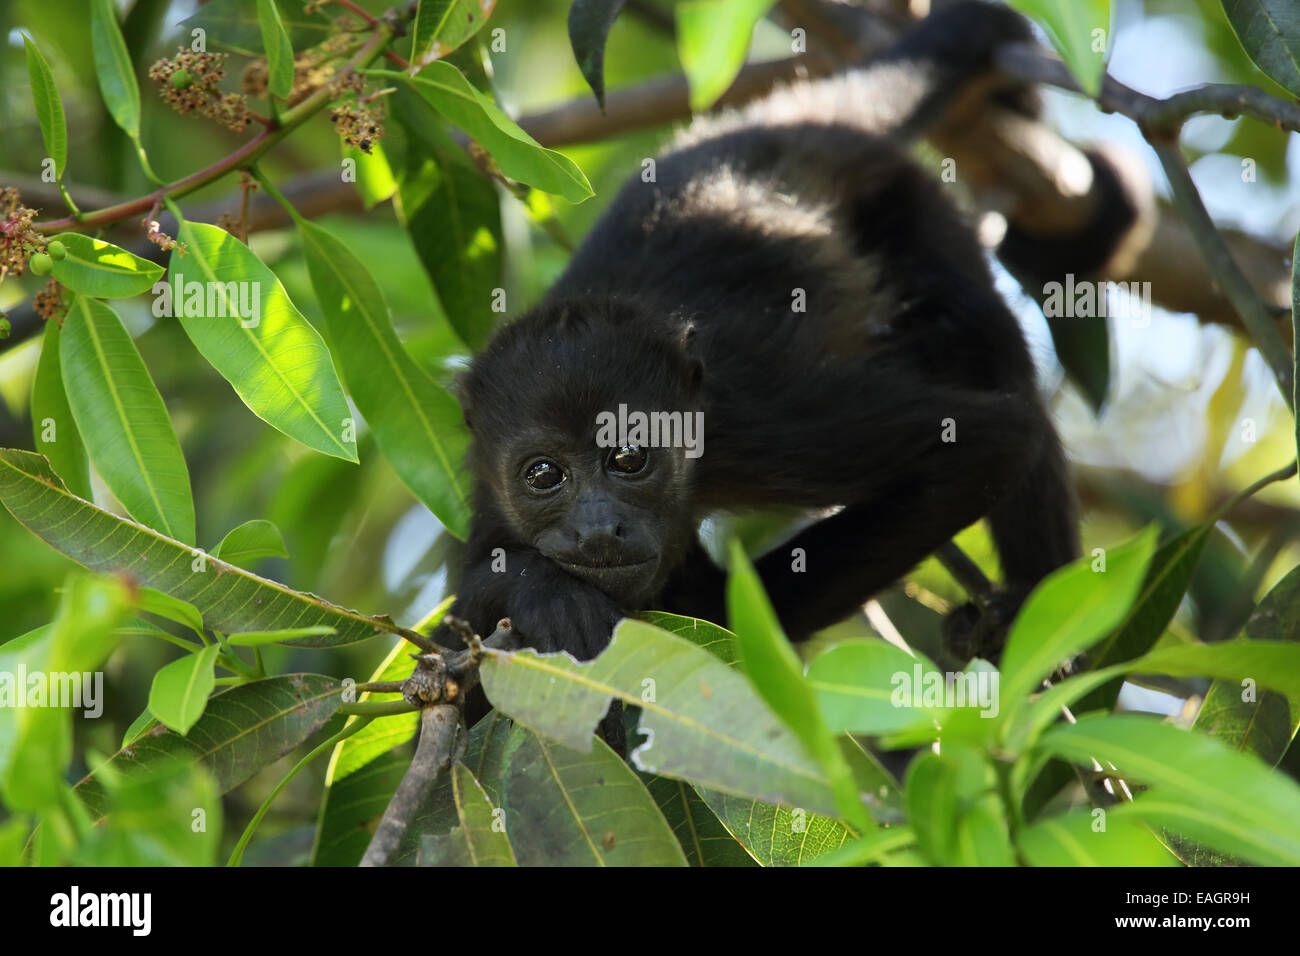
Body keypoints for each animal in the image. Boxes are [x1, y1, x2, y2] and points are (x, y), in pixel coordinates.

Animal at [434, 2, 1093, 703]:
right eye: (542, 475)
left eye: (629, 457)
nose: (596, 530)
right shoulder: (489, 490)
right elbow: (458, 636)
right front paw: (545, 594)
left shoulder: (754, 427)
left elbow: (990, 440)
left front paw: (678, 602)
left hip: (909, 202)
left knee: (978, 334)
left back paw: (1028, 611)